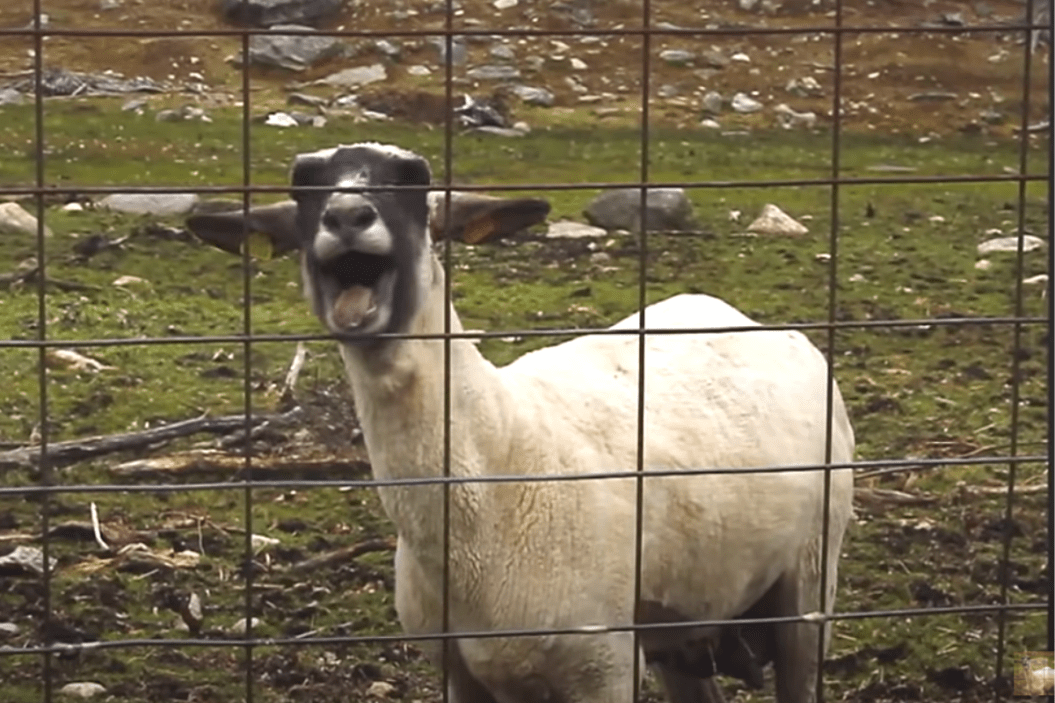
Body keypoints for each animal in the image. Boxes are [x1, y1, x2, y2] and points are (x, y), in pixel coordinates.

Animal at [186, 142, 856, 703]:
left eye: (413, 179)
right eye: (304, 186)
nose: (347, 216)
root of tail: (737, 313)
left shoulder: (605, 665)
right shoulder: (460, 671)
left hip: (811, 578)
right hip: (684, 618)